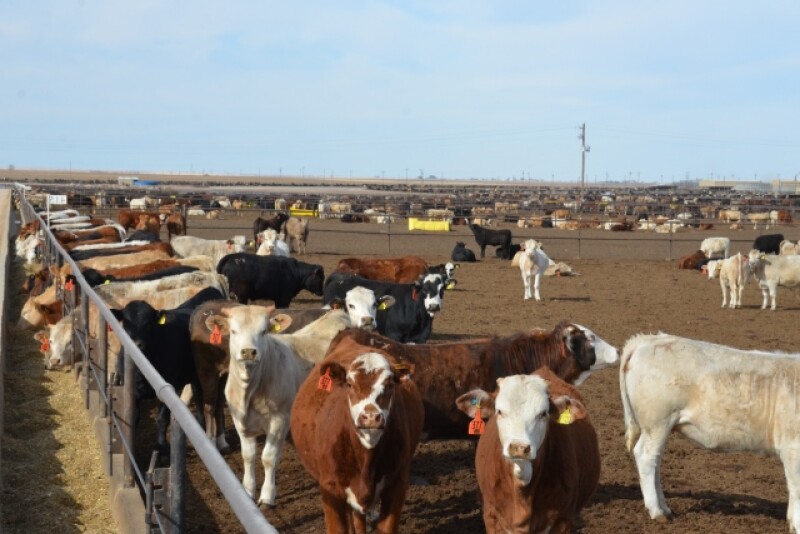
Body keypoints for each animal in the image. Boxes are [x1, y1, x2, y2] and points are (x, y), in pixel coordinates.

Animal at [620, 333, 800, 530]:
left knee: (655, 461)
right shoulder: (793, 447)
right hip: (657, 422)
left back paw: (664, 508)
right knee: (646, 457)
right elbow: (796, 488)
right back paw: (657, 511)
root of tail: (651, 339)